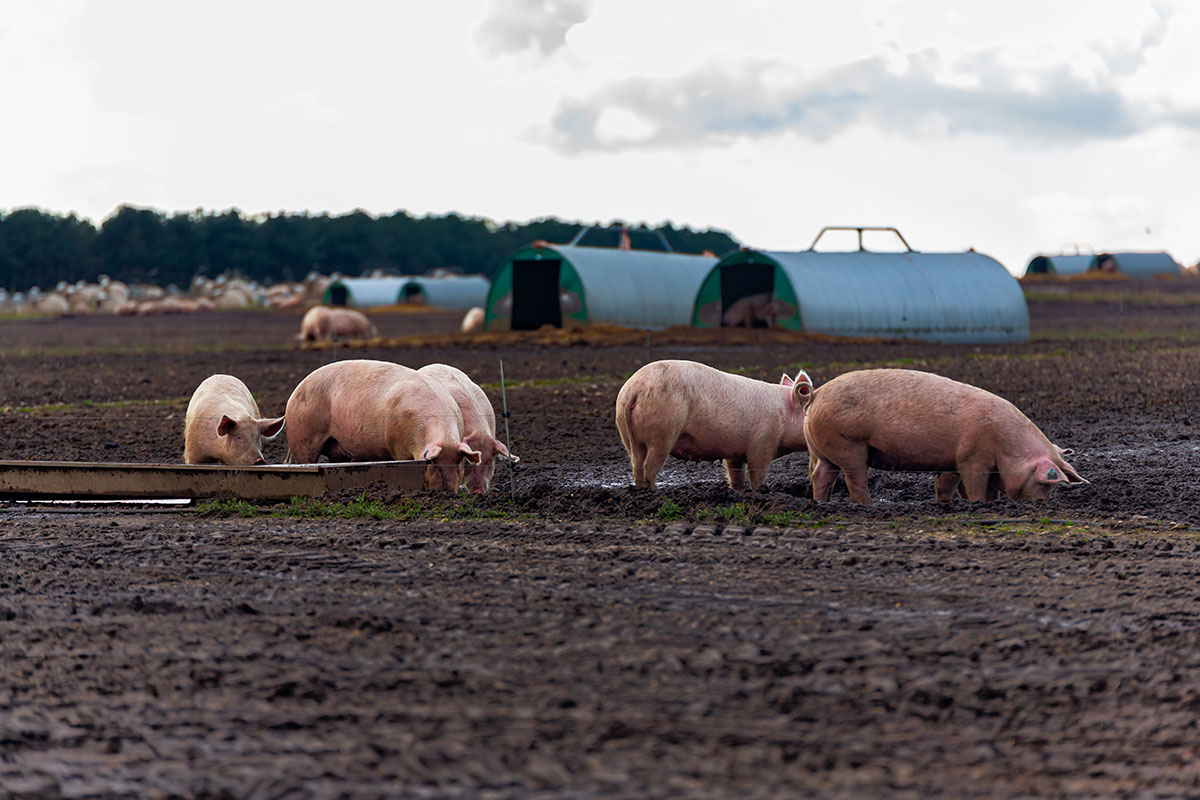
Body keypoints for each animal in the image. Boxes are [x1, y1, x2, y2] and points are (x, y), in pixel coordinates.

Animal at [285, 359, 481, 491]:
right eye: (432, 463)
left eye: (458, 462)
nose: (446, 492)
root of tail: (293, 393)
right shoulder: (399, 448)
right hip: (303, 436)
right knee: (306, 459)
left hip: (336, 449)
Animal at [615, 359, 812, 490]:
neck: (783, 414)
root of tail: (635, 388)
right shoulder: (763, 444)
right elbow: (757, 474)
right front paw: (760, 492)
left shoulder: (735, 452)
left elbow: (736, 475)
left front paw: (737, 492)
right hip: (663, 432)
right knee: (650, 466)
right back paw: (653, 491)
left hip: (629, 436)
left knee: (637, 464)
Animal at [803, 369, 1087, 505]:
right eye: (1044, 483)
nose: (1039, 505)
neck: (1006, 446)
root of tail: (817, 394)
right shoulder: (972, 458)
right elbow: (975, 485)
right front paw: (978, 504)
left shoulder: (952, 461)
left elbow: (947, 485)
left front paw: (950, 503)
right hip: (850, 446)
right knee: (855, 481)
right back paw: (870, 506)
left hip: (824, 450)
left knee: (822, 476)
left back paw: (821, 504)